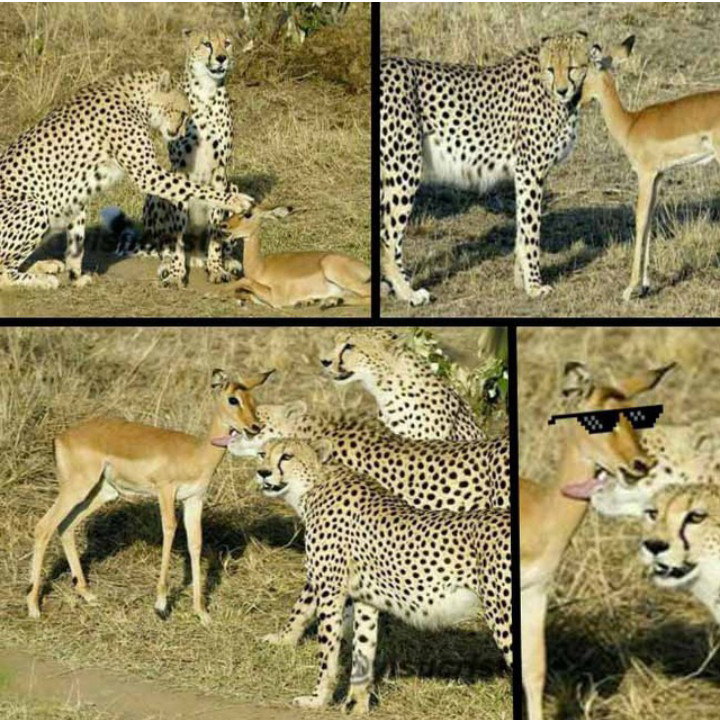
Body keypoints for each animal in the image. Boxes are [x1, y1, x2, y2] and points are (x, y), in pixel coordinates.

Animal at [26, 368, 274, 625]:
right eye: (233, 399)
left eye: (253, 399)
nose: (255, 426)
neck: (197, 453)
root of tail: (60, 438)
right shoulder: (166, 491)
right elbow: (169, 530)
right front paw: (161, 604)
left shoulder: (194, 500)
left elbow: (195, 543)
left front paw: (202, 612)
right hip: (76, 488)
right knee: (43, 527)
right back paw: (33, 606)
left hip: (101, 493)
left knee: (65, 526)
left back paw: (87, 593)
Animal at [221, 208, 371, 310]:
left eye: (247, 214)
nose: (224, 225)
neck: (260, 266)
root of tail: (365, 268)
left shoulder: (276, 297)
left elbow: (243, 281)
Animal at [520, 361, 674, 720]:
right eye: (598, 419)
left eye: (633, 416)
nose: (641, 463)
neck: (539, 514)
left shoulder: (535, 591)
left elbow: (533, 671)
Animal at [581, 35, 720, 301]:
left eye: (581, 74)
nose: (573, 100)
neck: (629, 124)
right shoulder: (658, 176)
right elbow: (651, 219)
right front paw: (645, 284)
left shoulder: (645, 175)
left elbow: (640, 219)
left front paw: (629, 289)